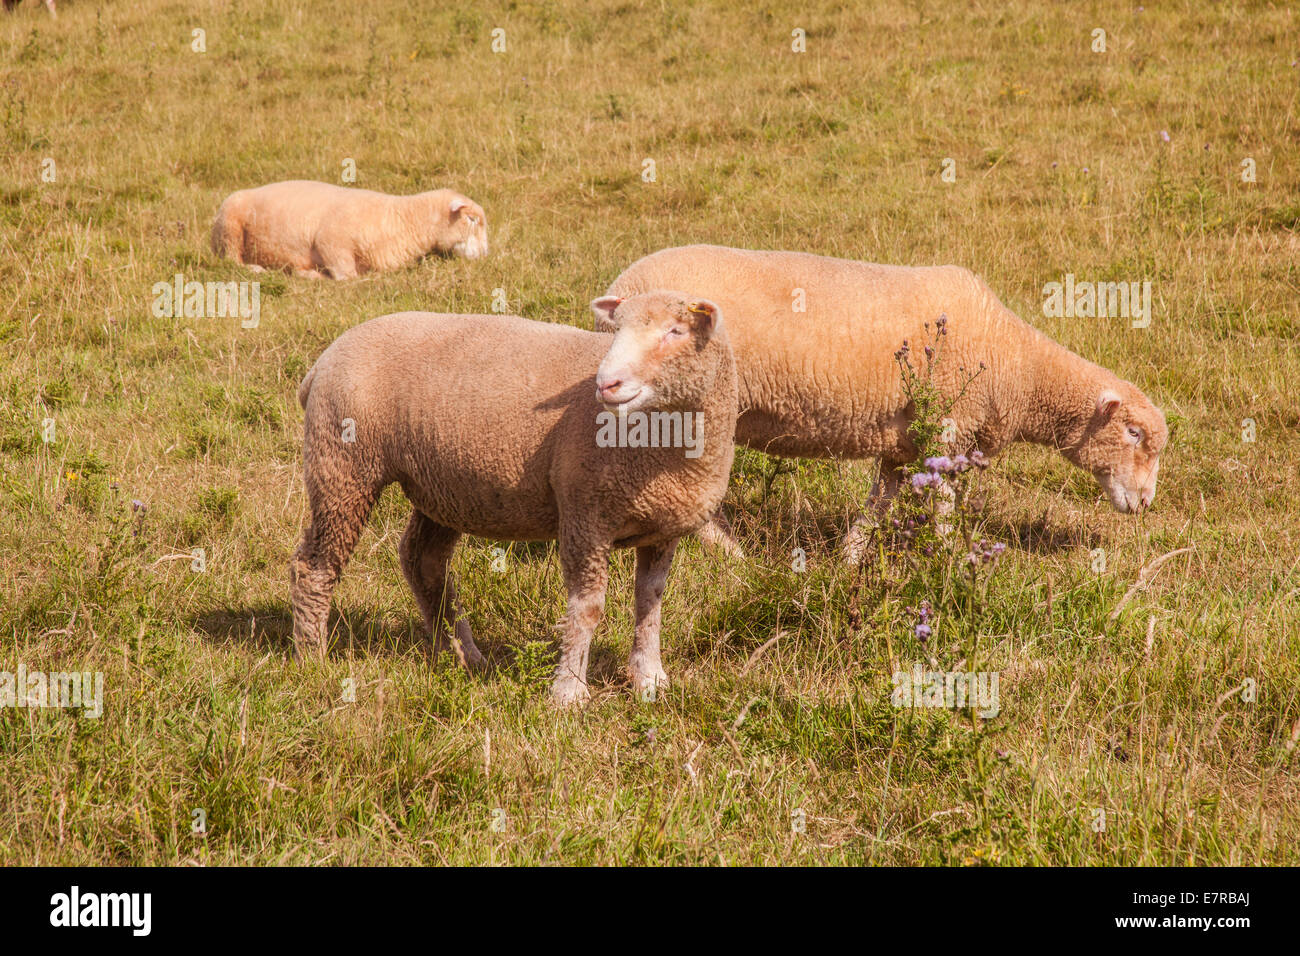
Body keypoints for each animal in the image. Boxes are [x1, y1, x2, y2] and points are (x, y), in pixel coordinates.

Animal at [211, 180, 487, 279]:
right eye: (472, 219)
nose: (485, 255)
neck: (401, 218)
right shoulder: (331, 243)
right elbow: (347, 278)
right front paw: (311, 275)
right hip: (230, 227)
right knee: (231, 260)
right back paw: (255, 269)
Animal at [290, 292, 738, 705]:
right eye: (617, 330)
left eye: (675, 331)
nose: (605, 384)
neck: (660, 443)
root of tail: (321, 363)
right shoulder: (584, 515)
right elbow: (587, 609)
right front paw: (568, 692)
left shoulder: (662, 529)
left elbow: (650, 603)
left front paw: (649, 678)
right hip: (343, 463)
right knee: (314, 566)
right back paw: (313, 658)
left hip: (442, 486)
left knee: (423, 560)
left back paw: (462, 655)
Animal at [603, 245, 1168, 559]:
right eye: (1133, 434)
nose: (1144, 505)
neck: (1019, 368)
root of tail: (620, 287)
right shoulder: (947, 428)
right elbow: (943, 506)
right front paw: (950, 559)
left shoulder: (903, 444)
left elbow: (877, 506)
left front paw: (848, 559)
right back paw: (732, 555)